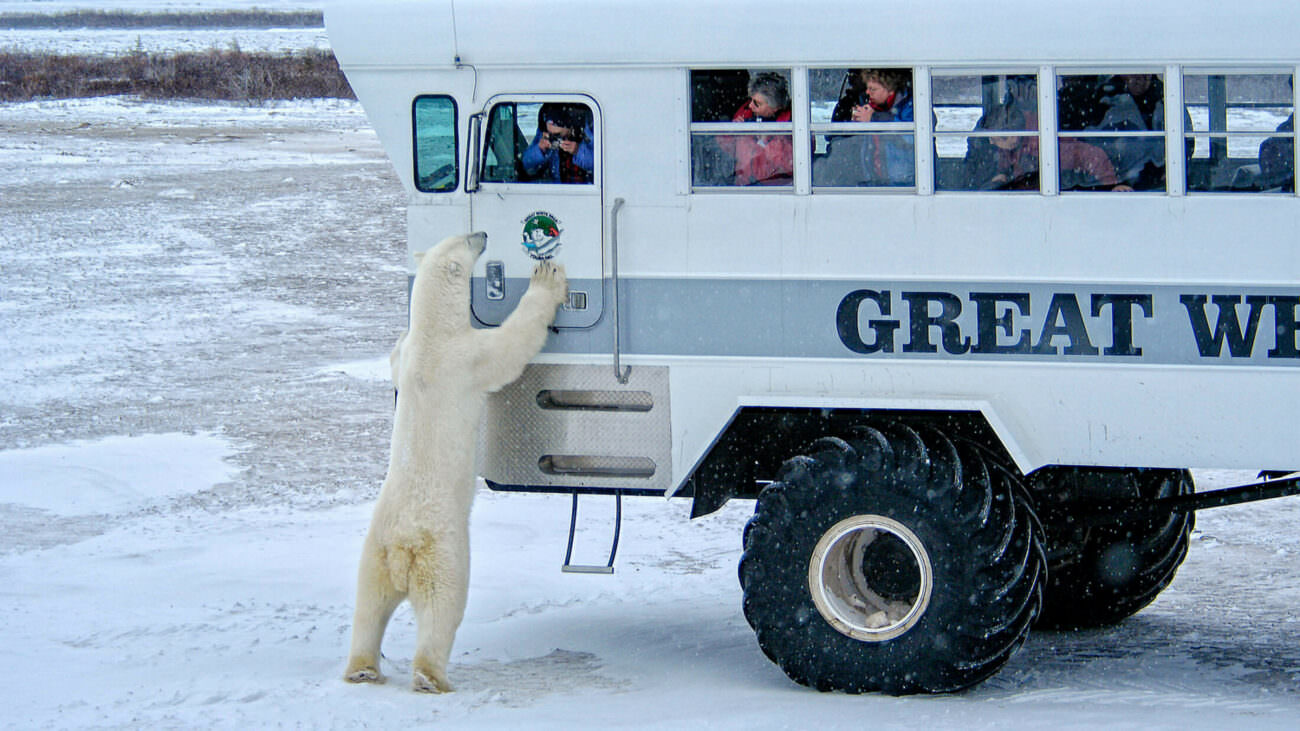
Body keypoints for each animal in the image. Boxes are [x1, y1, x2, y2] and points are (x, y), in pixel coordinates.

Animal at [344, 231, 567, 693]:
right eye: (465, 242)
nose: (482, 233)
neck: (434, 332)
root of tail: (404, 546)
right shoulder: (467, 357)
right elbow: (512, 345)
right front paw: (547, 278)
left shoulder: (418, 355)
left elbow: (396, 357)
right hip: (442, 552)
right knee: (441, 609)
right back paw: (431, 677)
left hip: (374, 553)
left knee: (368, 606)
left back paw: (362, 668)